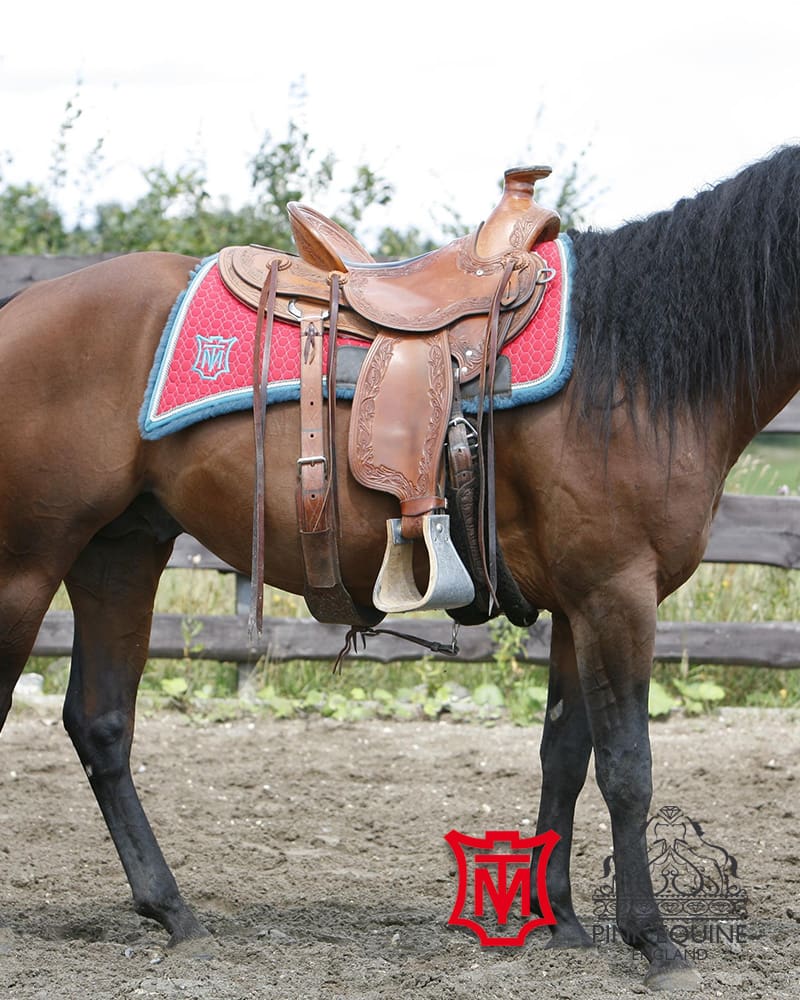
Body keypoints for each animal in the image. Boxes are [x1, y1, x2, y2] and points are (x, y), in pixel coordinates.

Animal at [1, 145, 798, 991]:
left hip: (118, 551)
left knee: (101, 722)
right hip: (26, 564)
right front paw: (653, 940)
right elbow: (627, 767)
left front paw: (561, 923)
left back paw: (174, 912)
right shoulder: (618, 593)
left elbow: (563, 756)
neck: (629, 372)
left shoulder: (581, 604)